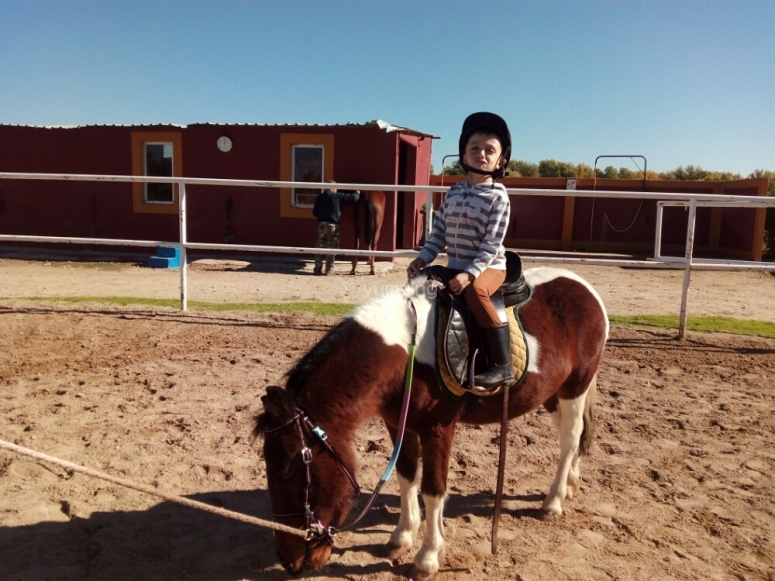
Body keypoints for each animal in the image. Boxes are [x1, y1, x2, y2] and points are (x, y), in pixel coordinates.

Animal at [253, 267, 608, 579]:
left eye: (288, 468)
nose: (287, 560)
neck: (407, 356)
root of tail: (583, 287)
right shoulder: (399, 424)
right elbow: (406, 477)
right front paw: (401, 538)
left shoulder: (438, 429)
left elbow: (433, 489)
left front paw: (427, 558)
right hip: (552, 394)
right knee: (571, 437)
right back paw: (571, 484)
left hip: (574, 388)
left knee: (570, 439)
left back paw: (553, 502)